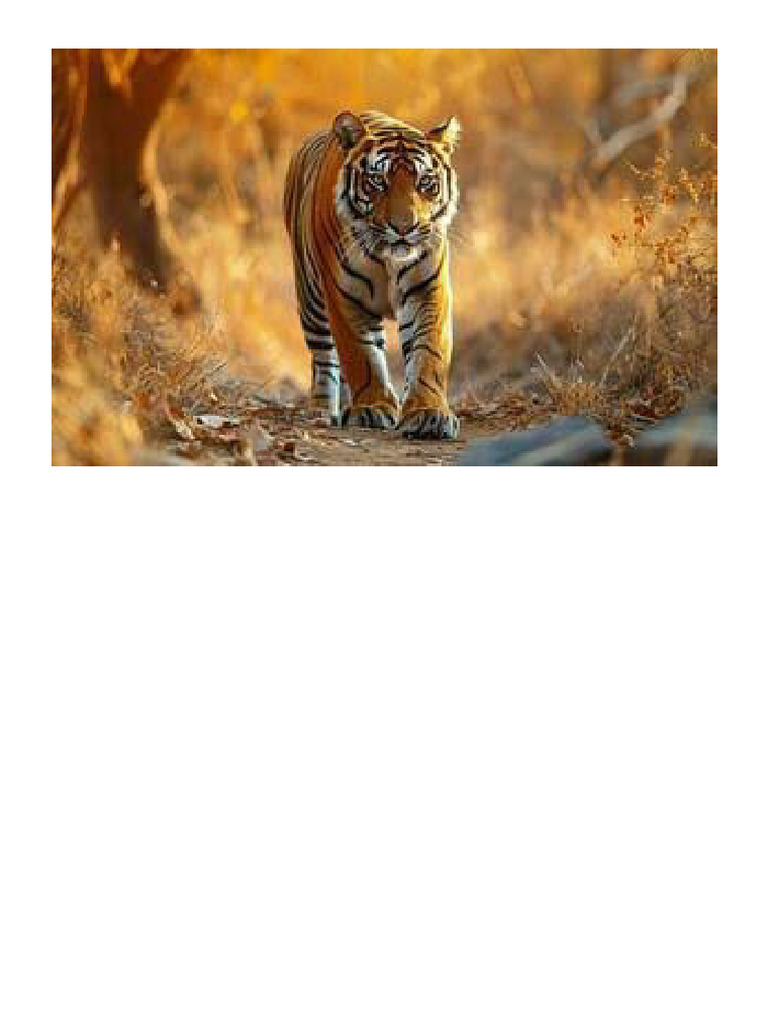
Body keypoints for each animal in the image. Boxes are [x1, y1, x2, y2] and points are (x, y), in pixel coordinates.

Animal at [283, 110, 461, 439]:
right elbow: (360, 356)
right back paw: (322, 411)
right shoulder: (342, 296)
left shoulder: (427, 291)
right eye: (378, 181)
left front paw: (429, 414)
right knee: (324, 360)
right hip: (311, 303)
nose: (404, 228)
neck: (387, 258)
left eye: (425, 182)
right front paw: (373, 408)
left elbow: (428, 352)